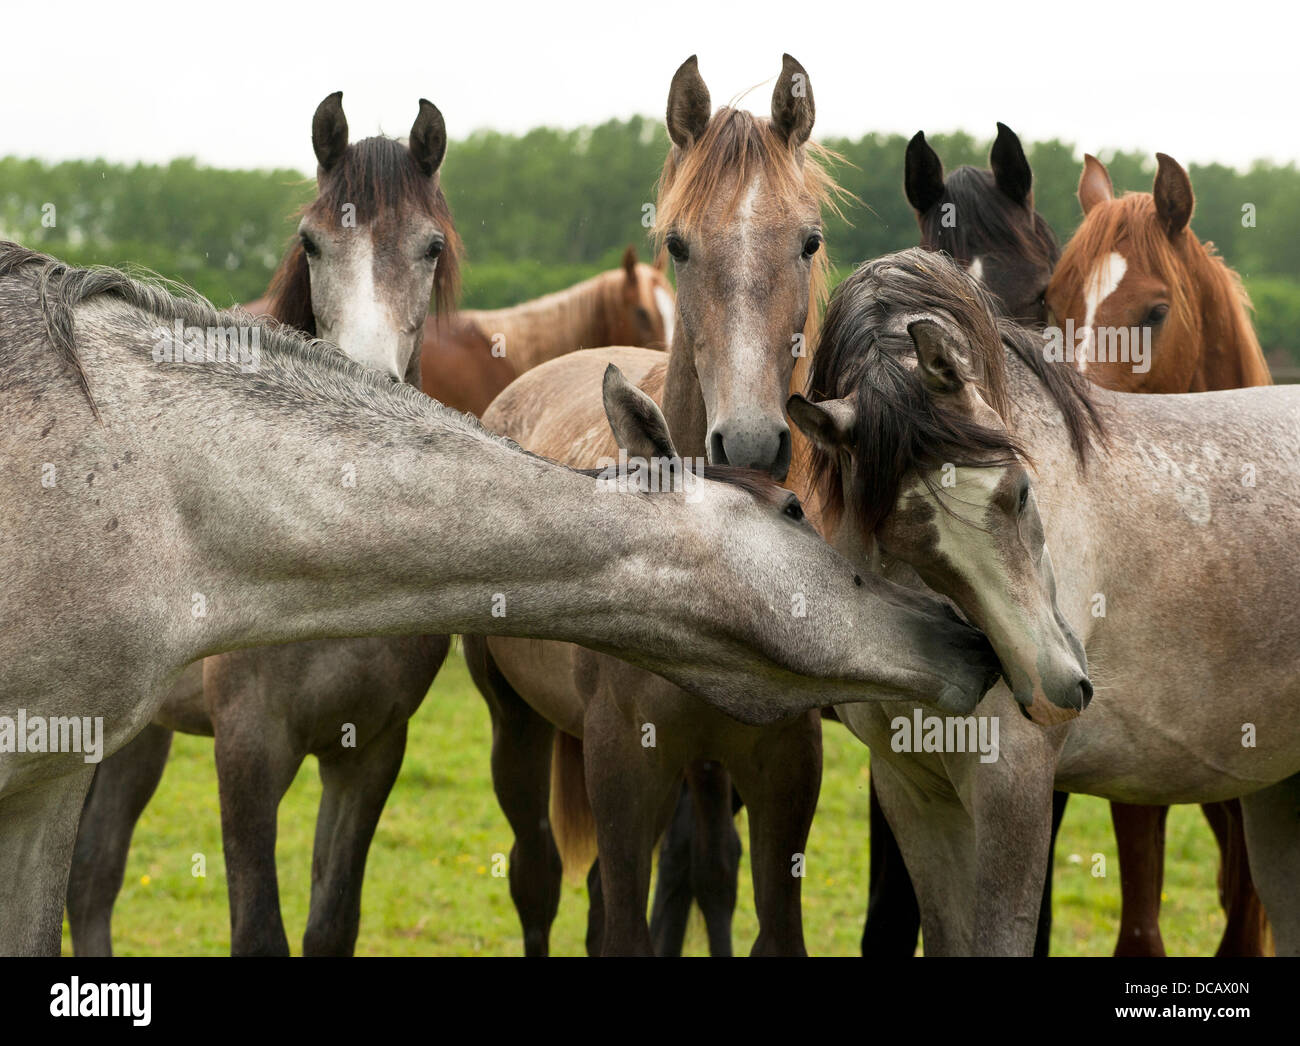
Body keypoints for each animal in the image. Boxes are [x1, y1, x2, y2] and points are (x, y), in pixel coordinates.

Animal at [65, 91, 461, 957]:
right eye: (311, 242)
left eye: (430, 246)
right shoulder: (249, 749)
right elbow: (259, 930)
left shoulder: (369, 750)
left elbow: (331, 924)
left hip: (136, 735)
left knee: (91, 880)